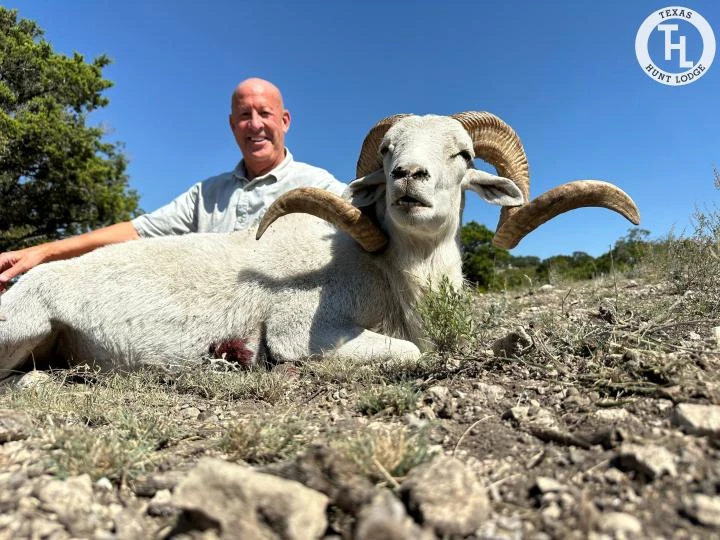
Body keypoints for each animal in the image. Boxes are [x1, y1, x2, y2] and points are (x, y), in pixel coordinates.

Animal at [0, 112, 640, 375]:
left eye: (461, 153)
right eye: (389, 150)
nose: (408, 177)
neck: (392, 277)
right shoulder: (302, 334)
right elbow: (411, 354)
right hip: (27, 328)